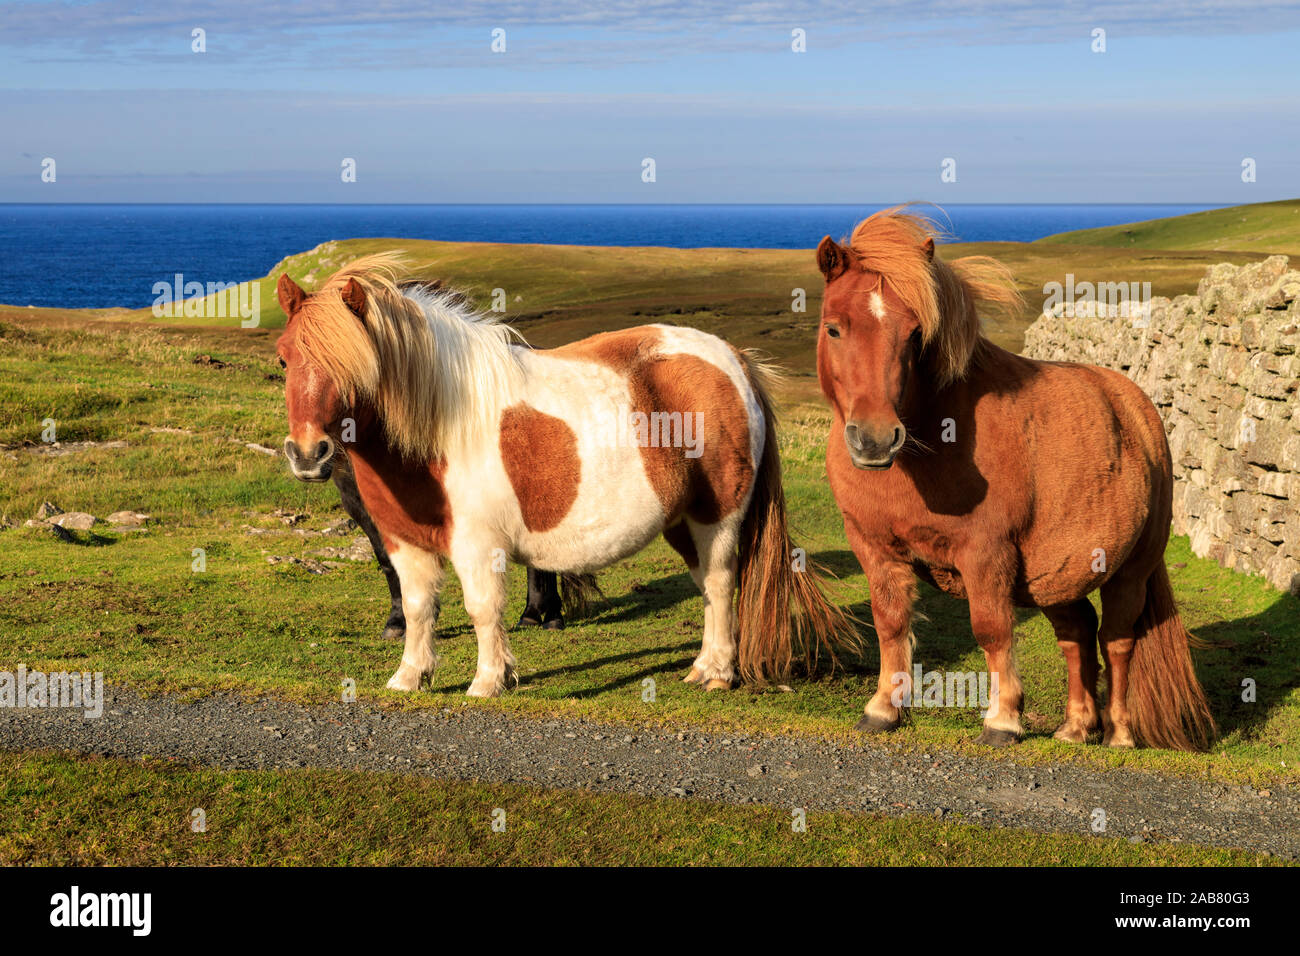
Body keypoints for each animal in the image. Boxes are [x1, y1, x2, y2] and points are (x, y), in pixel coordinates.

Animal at [275, 254, 858, 696]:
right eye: (283, 360)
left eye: (355, 363)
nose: (308, 455)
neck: (438, 425)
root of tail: (732, 358)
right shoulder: (404, 542)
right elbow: (418, 608)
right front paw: (409, 678)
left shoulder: (477, 544)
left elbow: (483, 608)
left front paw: (488, 682)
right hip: (682, 521)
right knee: (708, 586)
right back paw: (701, 669)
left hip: (716, 518)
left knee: (719, 582)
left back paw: (716, 674)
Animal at [815, 206, 1215, 751]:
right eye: (834, 329)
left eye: (915, 334)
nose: (876, 439)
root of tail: (1139, 410)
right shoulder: (874, 546)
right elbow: (890, 622)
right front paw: (882, 709)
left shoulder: (986, 554)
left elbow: (991, 630)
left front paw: (1002, 719)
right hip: (1056, 574)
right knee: (1077, 633)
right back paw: (1075, 727)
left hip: (1129, 572)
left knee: (1116, 640)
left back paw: (1119, 733)